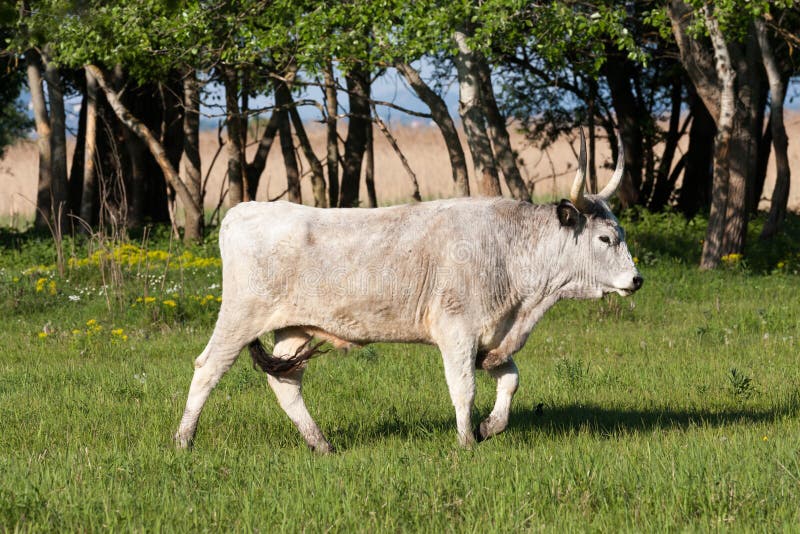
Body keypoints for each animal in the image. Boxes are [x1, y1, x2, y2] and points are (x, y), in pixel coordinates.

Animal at [174, 130, 642, 452]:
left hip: (295, 328)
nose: (636, 280)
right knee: (206, 368)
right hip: (240, 316)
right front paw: (466, 442)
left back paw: (320, 443)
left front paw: (489, 427)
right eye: (605, 239)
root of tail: (243, 210)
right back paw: (184, 440)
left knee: (286, 383)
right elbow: (464, 389)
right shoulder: (457, 332)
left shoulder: (493, 337)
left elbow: (510, 381)